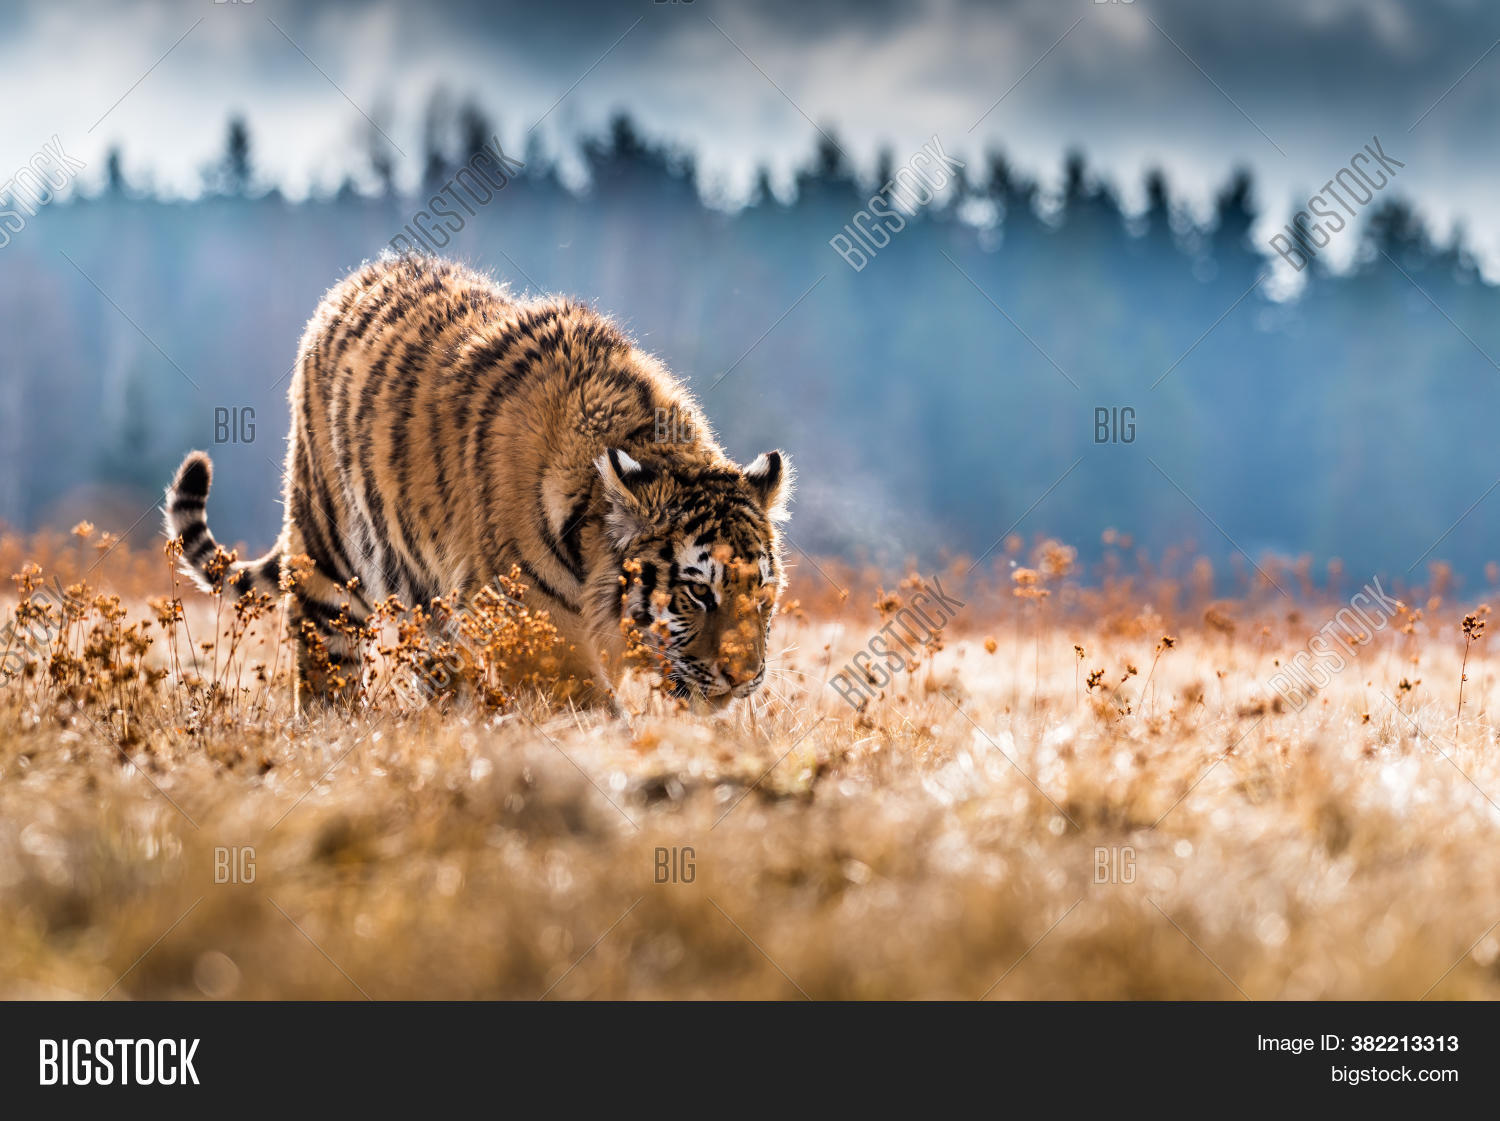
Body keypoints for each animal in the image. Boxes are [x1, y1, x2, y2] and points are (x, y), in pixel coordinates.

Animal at [164, 252, 791, 712]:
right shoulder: (532, 620)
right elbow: (587, 704)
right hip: (329, 560)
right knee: (325, 667)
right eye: (697, 592)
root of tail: (356, 280)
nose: (746, 677)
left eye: (761, 591)